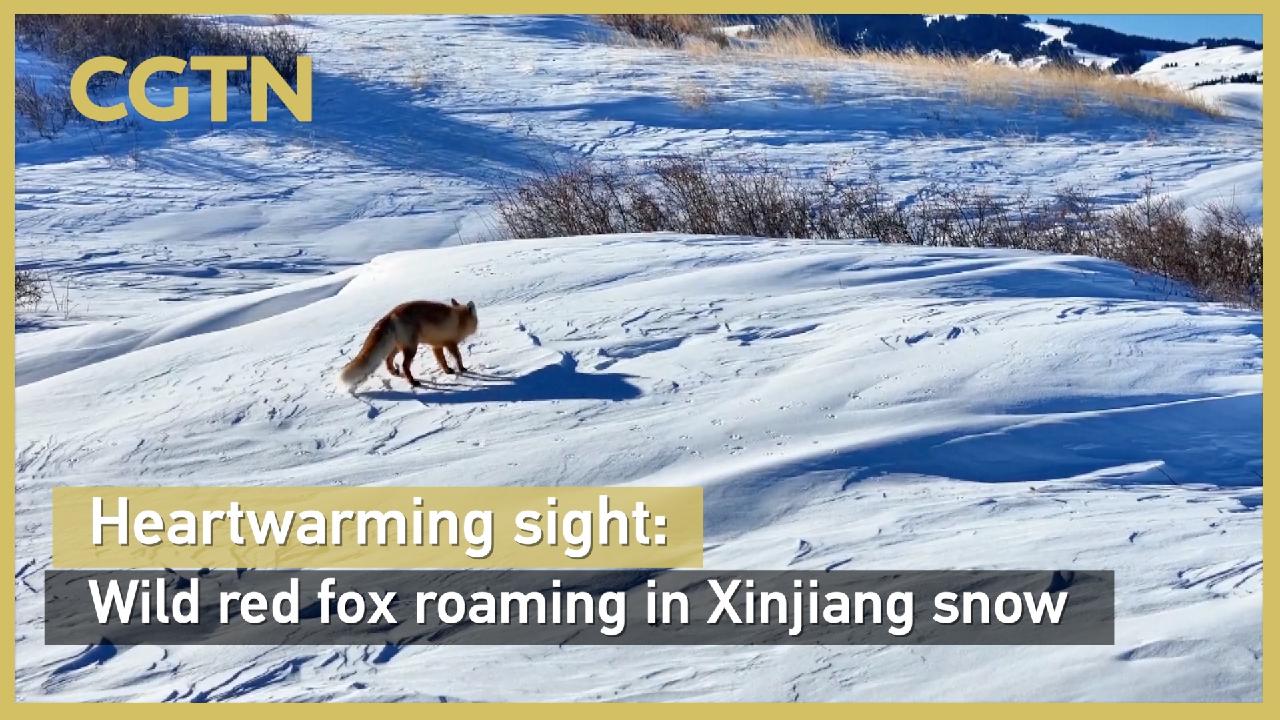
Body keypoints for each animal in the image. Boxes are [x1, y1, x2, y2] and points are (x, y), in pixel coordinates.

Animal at [338, 299, 479, 390]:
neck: (459, 320)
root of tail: (391, 314)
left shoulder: (436, 345)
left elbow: (442, 361)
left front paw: (448, 371)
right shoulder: (450, 343)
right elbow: (458, 357)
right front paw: (462, 369)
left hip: (398, 347)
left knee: (388, 359)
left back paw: (394, 371)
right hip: (411, 348)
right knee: (405, 365)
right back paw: (413, 382)